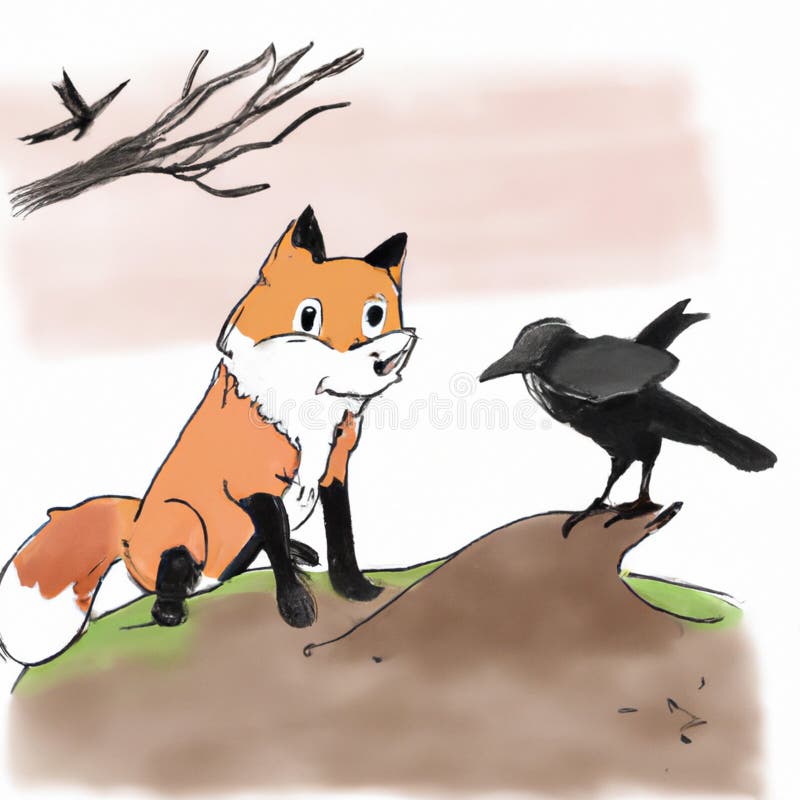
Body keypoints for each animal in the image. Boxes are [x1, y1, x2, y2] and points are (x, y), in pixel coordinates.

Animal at [0, 206, 416, 666]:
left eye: (374, 316)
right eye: (309, 317)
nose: (381, 363)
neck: (307, 415)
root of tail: (131, 526)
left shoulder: (333, 471)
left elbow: (341, 539)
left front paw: (357, 591)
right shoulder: (253, 484)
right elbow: (281, 557)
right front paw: (297, 609)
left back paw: (296, 551)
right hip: (186, 520)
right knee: (173, 576)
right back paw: (169, 609)